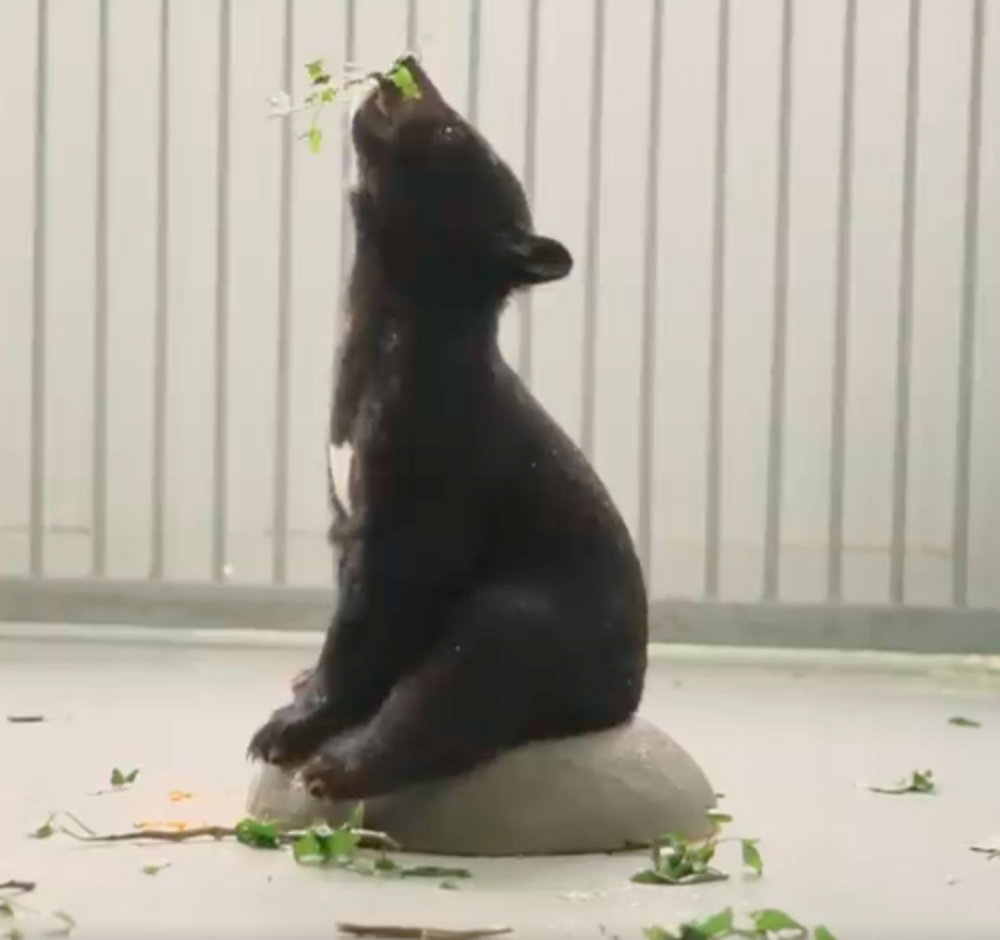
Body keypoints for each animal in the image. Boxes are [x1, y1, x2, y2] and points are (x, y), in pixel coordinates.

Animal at [247, 55, 648, 804]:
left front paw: (299, 722)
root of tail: (624, 701)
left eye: (454, 133)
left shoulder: (401, 532)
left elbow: (358, 637)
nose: (404, 62)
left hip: (515, 621)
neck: (396, 318)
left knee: (450, 690)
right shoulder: (349, 523)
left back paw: (341, 767)